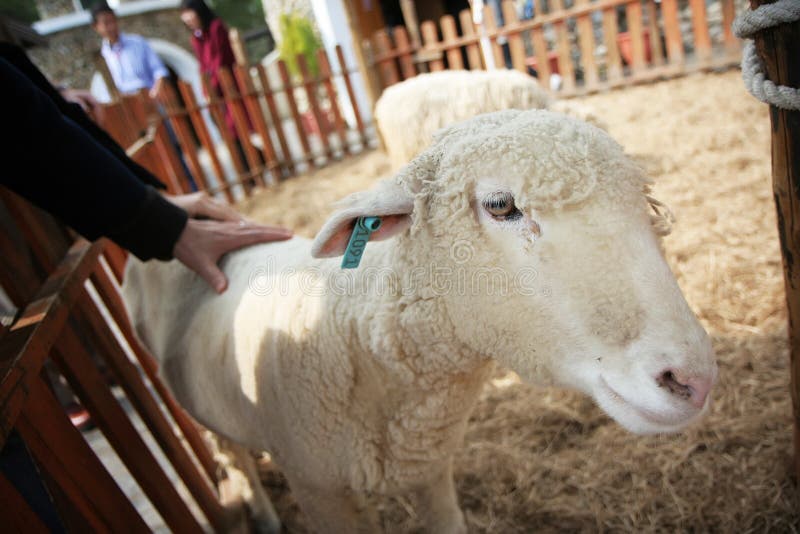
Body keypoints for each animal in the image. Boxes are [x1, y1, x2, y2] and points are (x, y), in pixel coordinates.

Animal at [122, 109, 717, 533]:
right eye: (499, 205)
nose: (693, 380)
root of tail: (185, 209)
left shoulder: (430, 471)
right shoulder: (322, 493)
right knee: (235, 457)